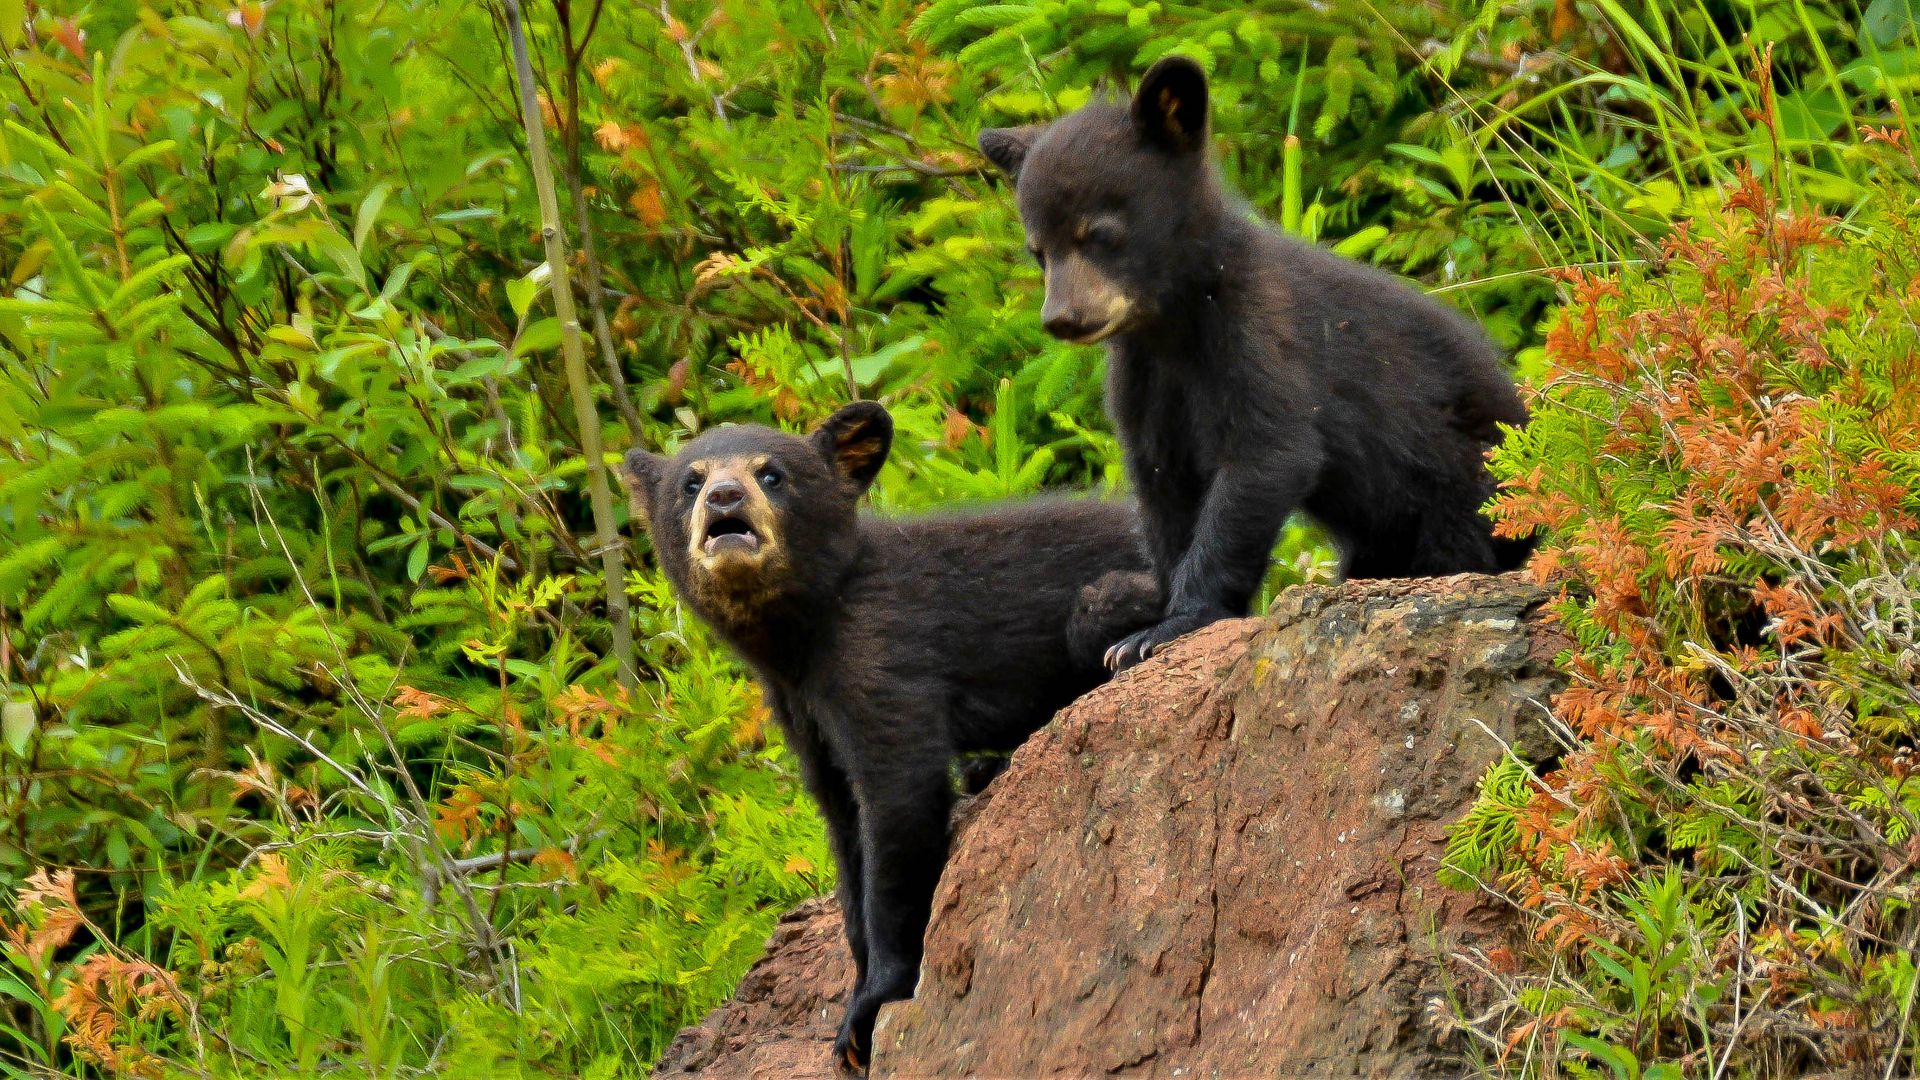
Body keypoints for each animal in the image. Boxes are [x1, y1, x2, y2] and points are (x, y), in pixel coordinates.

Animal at [623, 402, 1159, 1072]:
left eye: (771, 474)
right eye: (689, 482)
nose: (724, 497)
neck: (802, 636)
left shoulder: (878, 652)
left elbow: (898, 800)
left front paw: (869, 1010)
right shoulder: (802, 715)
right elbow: (843, 827)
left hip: (1108, 598)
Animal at [979, 56, 1532, 670]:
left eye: (1099, 233)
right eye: (1039, 249)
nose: (1063, 318)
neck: (1176, 322)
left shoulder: (1260, 335)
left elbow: (1267, 454)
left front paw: (1168, 626)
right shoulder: (1144, 381)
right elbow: (1163, 487)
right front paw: (1146, 619)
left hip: (1465, 478)